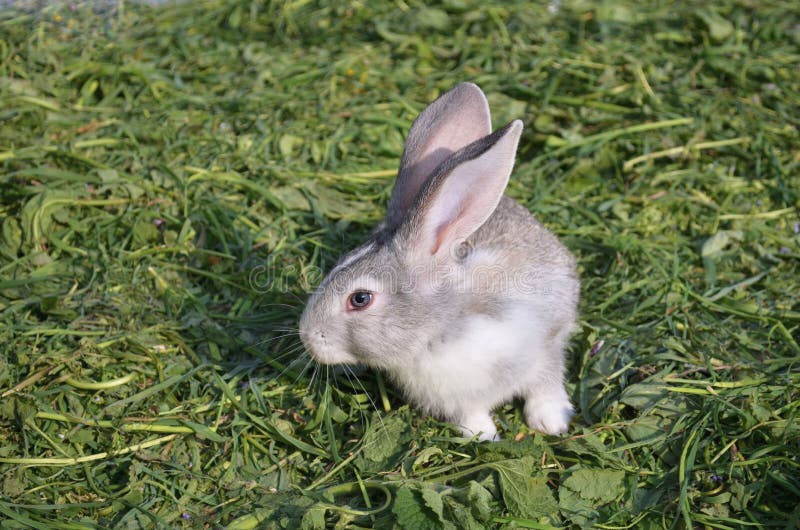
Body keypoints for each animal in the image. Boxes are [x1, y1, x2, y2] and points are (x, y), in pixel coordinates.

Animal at [299, 82, 579, 441]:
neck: (438, 329)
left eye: (360, 299)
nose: (308, 338)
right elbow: (471, 413)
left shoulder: (547, 343)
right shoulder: (458, 400)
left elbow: (546, 382)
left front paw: (552, 422)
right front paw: (483, 435)